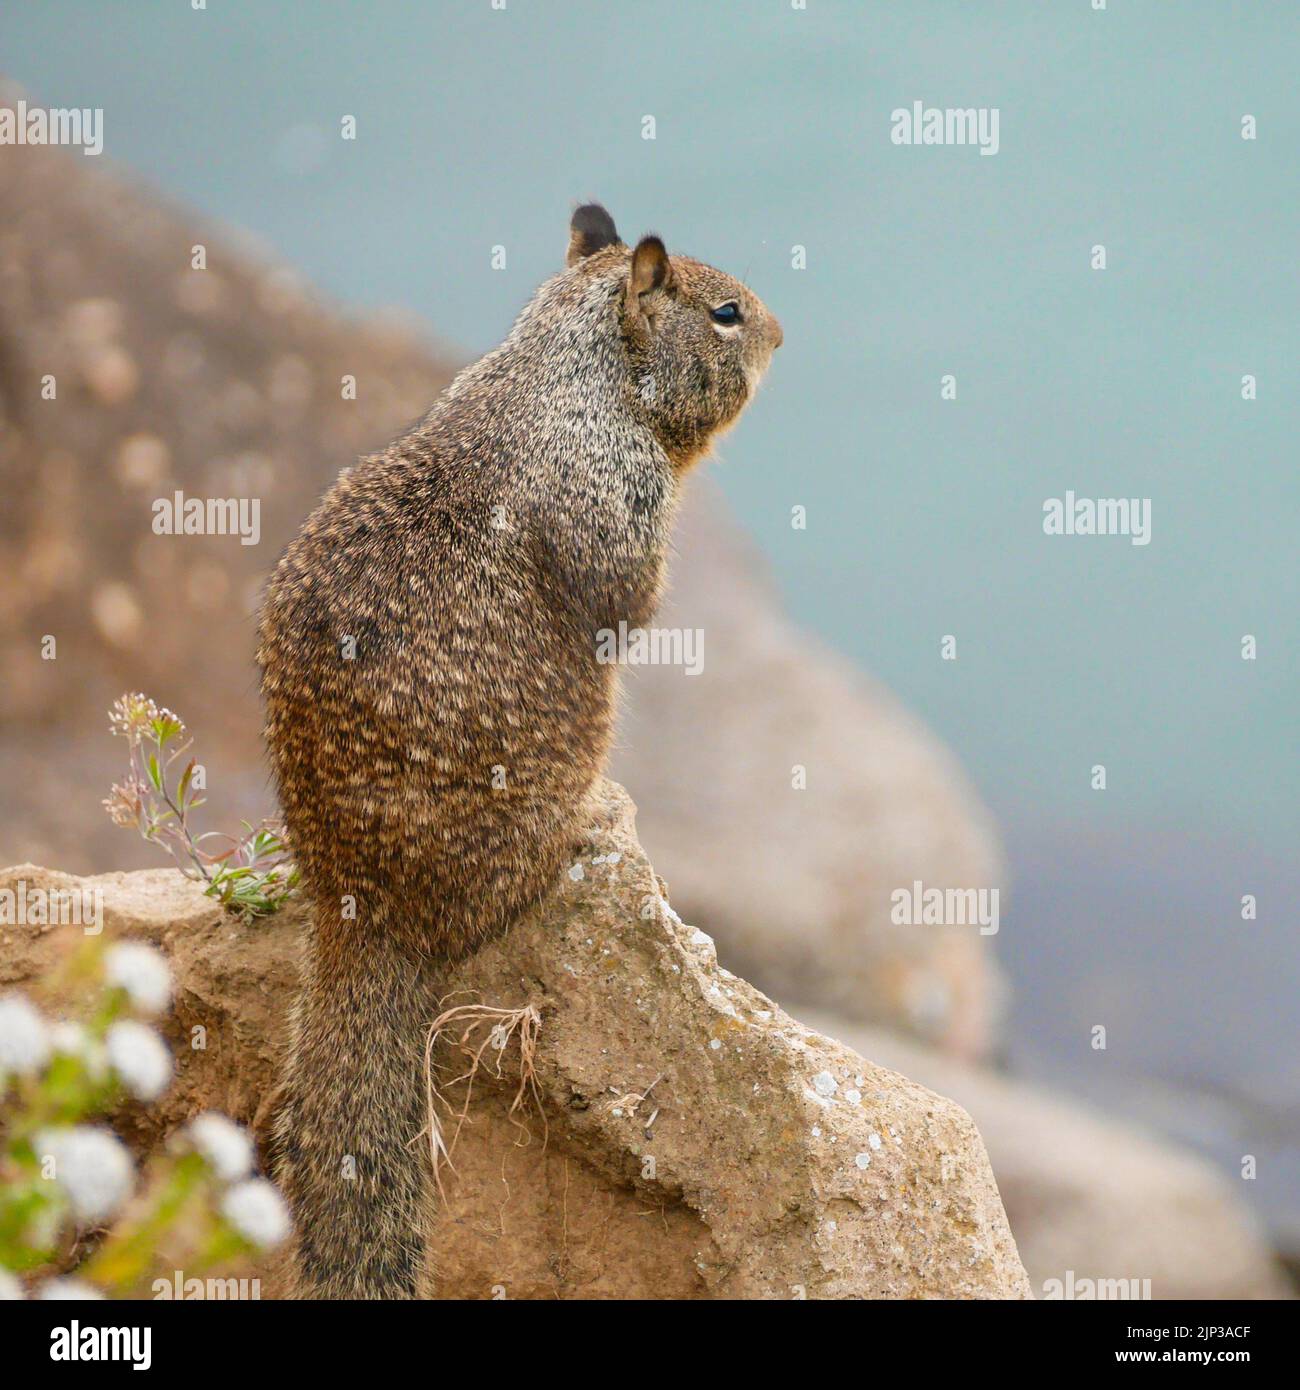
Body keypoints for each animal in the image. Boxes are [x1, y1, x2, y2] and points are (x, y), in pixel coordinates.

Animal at [256, 204, 782, 1299]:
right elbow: (627, 593)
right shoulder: (616, 486)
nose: (784, 335)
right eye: (725, 314)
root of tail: (363, 912)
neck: (563, 365)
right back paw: (595, 823)